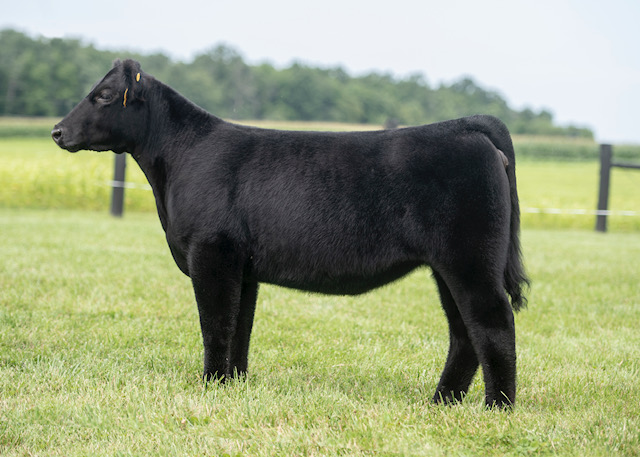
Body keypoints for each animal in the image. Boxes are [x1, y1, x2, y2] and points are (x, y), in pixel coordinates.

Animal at [52, 59, 529, 408]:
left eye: (103, 96)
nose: (57, 131)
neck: (178, 161)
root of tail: (466, 126)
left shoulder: (211, 254)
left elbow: (215, 324)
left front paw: (209, 384)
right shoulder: (242, 267)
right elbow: (239, 327)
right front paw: (231, 384)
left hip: (470, 261)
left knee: (493, 322)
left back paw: (497, 407)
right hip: (447, 267)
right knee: (464, 332)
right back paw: (442, 402)